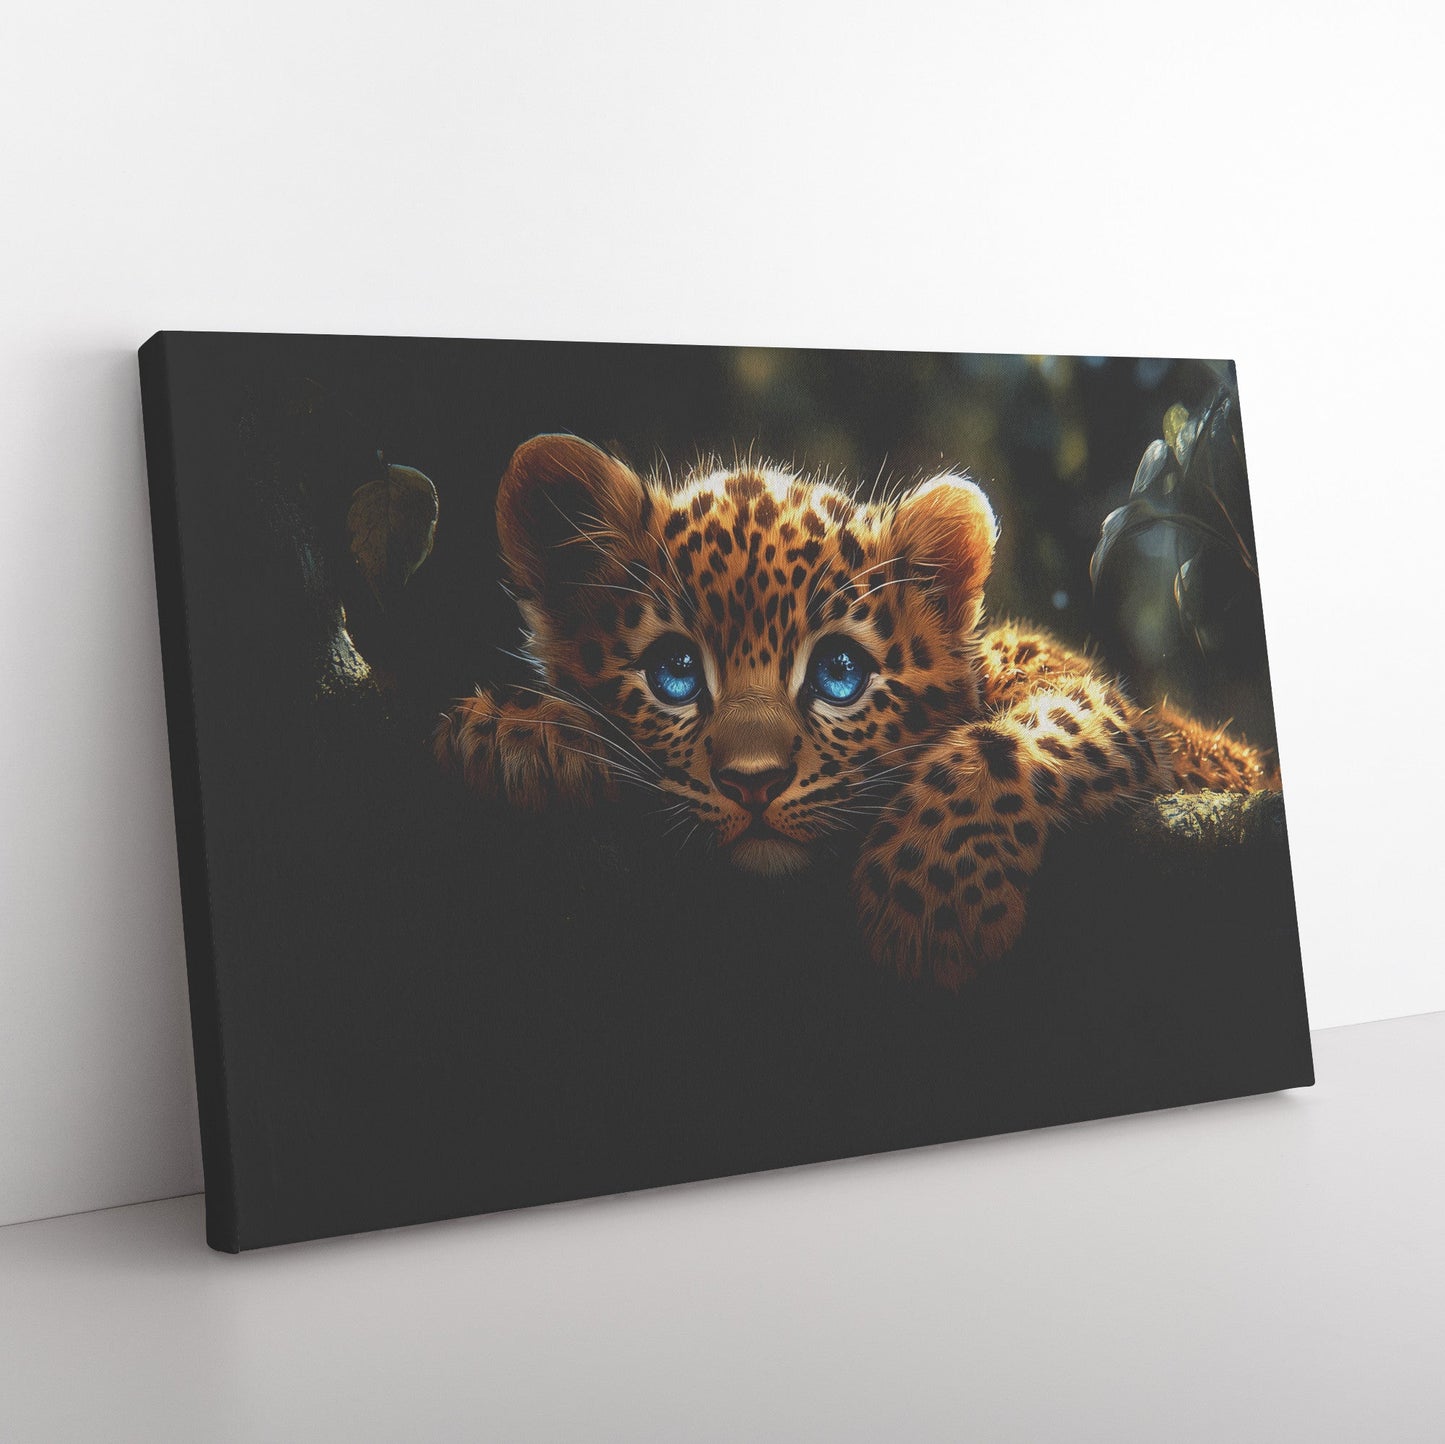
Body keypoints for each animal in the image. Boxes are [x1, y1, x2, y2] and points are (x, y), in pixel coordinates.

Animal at [435, 434, 1280, 989]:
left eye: (839, 674)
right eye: (672, 673)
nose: (753, 782)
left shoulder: (1125, 720)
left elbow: (1013, 737)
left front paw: (933, 901)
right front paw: (518, 728)